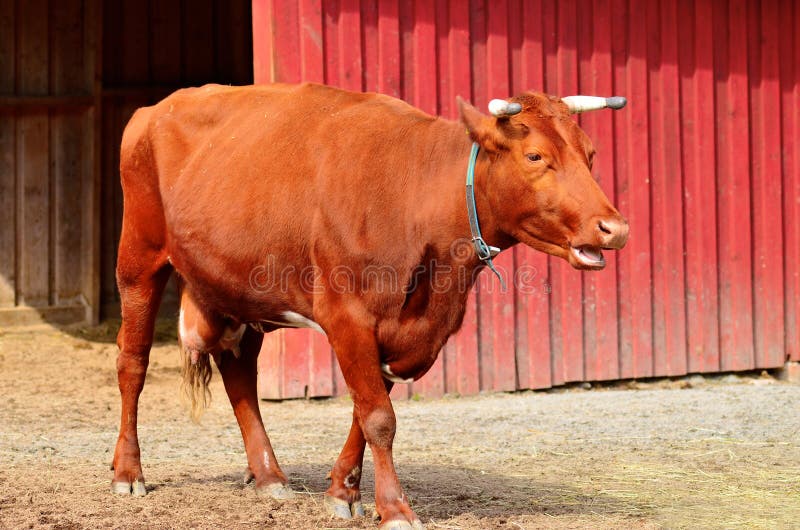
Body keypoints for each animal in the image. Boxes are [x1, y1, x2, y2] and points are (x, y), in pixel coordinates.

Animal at [111, 82, 629, 529]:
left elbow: (365, 411)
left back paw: (270, 476)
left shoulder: (403, 332)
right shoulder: (347, 316)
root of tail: (154, 109)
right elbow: (379, 417)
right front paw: (395, 508)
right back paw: (128, 472)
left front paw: (343, 491)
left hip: (240, 285)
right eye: (535, 155)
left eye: (591, 154)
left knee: (239, 372)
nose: (615, 228)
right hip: (138, 258)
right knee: (132, 363)